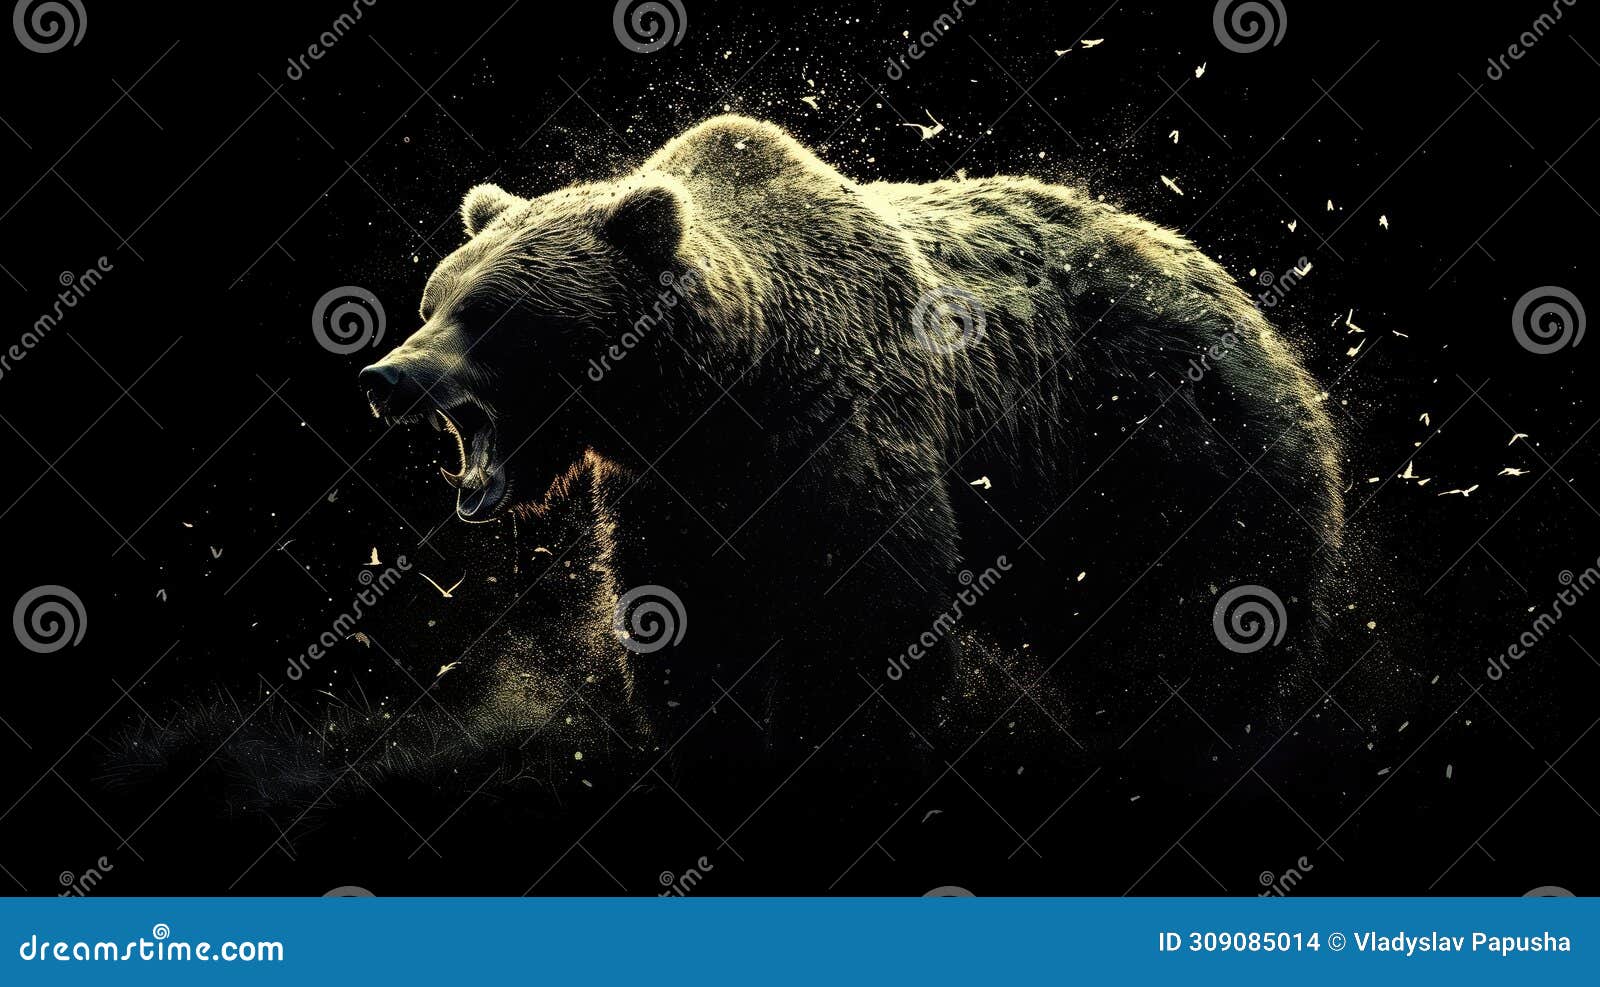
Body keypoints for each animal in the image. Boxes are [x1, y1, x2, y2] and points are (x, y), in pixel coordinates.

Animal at [357, 114, 1348, 796]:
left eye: (487, 311)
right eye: (433, 297)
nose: (387, 376)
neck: (722, 394)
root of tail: (1234, 292)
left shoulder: (842, 434)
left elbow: (872, 612)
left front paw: (832, 744)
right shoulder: (676, 494)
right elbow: (685, 625)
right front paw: (709, 741)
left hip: (1170, 440)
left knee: (1196, 618)